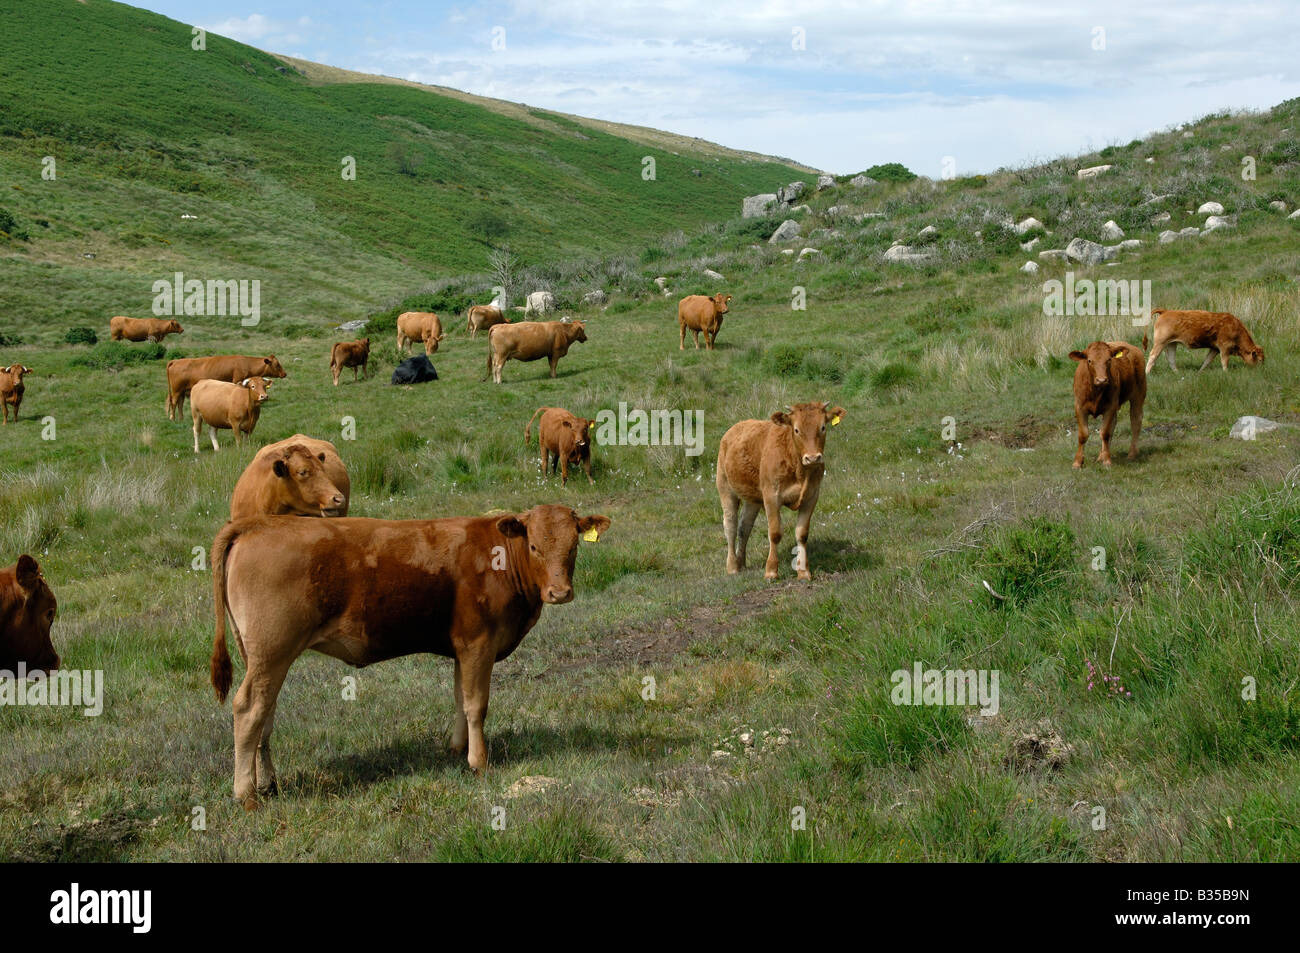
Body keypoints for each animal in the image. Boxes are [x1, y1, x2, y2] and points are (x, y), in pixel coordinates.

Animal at [209, 505, 612, 808]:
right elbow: (476, 704)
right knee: (249, 709)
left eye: (573, 547)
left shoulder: (462, 647)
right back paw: (246, 794)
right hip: (272, 650)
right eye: (534, 547)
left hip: (261, 656)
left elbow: (459, 697)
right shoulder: (478, 642)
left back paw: (267, 783)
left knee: (266, 713)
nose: (559, 592)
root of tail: (260, 523)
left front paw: (457, 749)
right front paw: (479, 762)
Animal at [716, 401, 845, 581]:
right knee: (730, 525)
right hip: (725, 486)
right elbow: (775, 533)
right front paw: (771, 571)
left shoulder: (812, 496)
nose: (813, 458)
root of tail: (737, 426)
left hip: (753, 498)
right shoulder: (771, 497)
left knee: (744, 527)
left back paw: (742, 563)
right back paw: (733, 567)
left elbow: (802, 534)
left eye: (823, 427)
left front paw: (803, 572)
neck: (800, 471)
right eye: (796, 430)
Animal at [1070, 339, 1147, 468]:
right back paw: (1101, 456)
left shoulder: (1110, 407)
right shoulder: (1079, 407)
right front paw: (1077, 462)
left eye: (1109, 359)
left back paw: (1131, 454)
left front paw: (1107, 461)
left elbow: (1105, 432)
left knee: (1135, 421)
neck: (1095, 392)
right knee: (1114, 423)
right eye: (1089, 360)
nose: (1101, 380)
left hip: (1138, 395)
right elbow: (1083, 434)